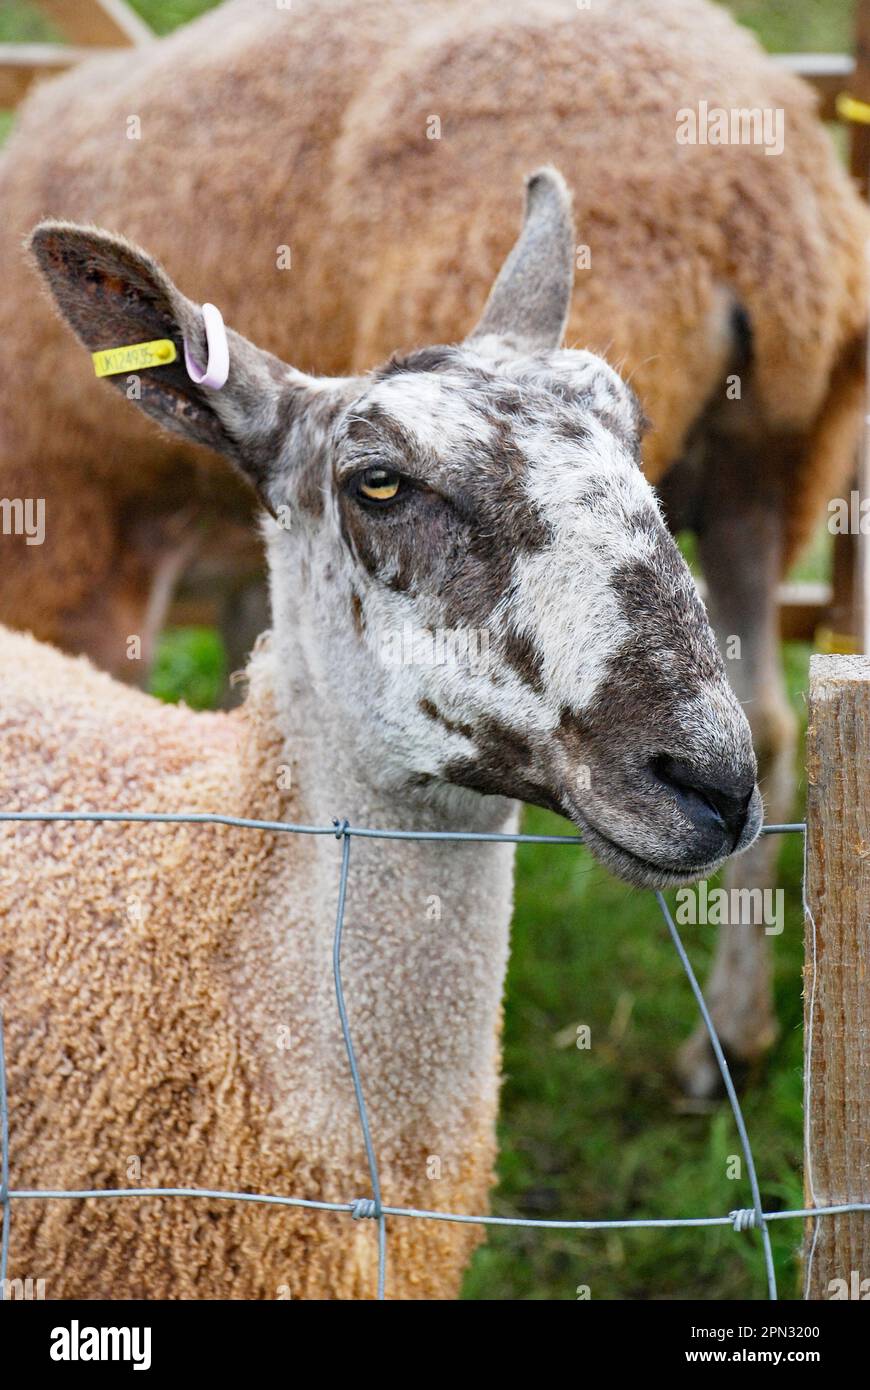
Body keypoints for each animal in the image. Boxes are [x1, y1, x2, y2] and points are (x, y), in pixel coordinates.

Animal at [0, 0, 865, 1094]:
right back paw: (729, 1041)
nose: (710, 783)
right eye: (379, 482)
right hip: (776, 476)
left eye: (627, 428)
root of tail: (762, 220)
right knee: (776, 716)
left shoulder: (83, 553)